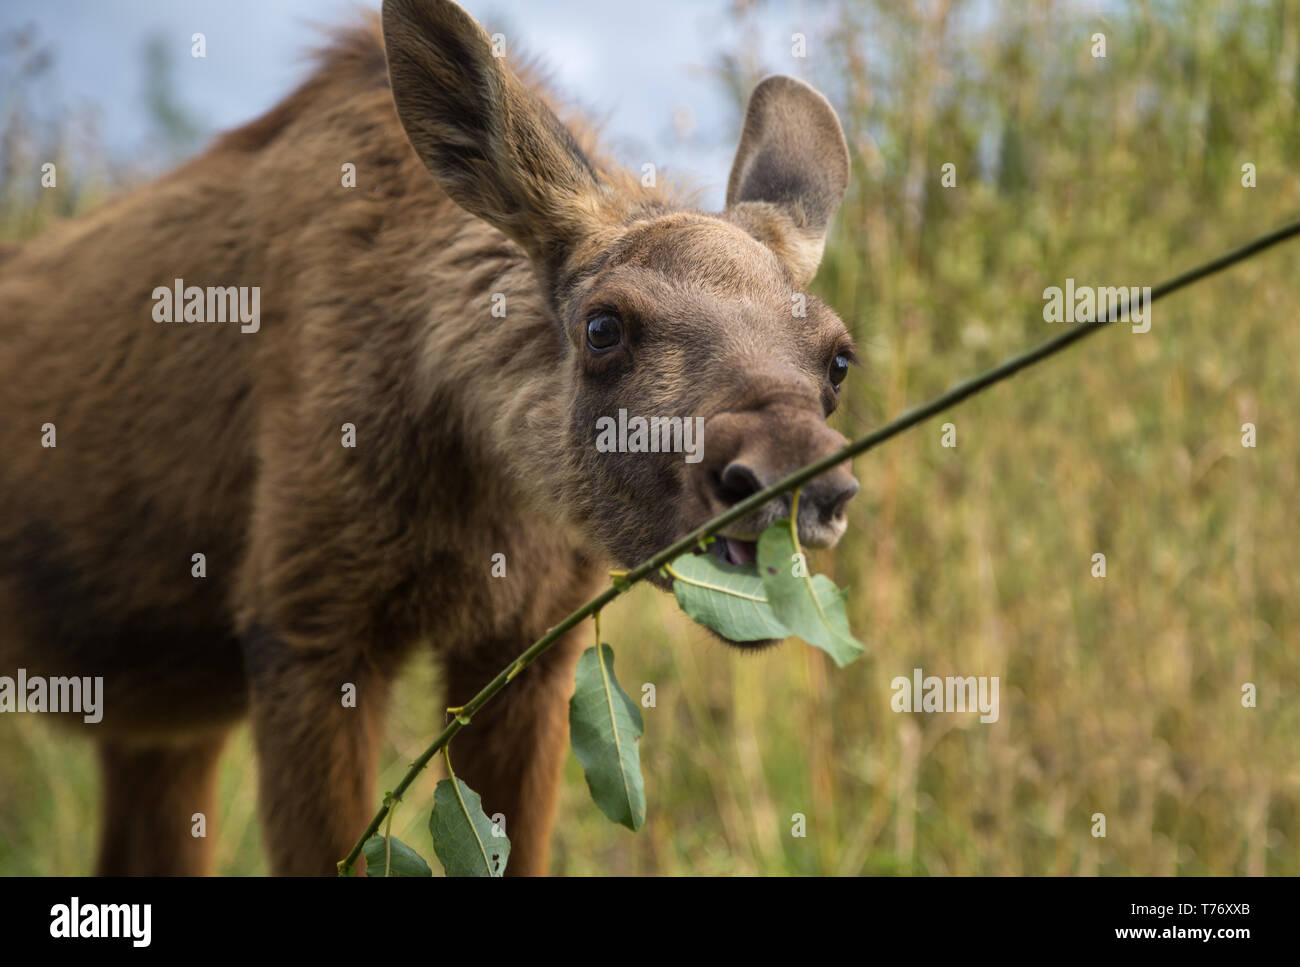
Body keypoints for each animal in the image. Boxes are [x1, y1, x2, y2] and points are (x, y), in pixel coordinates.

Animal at [0, 0, 859, 875]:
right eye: (603, 325)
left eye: (838, 357)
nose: (796, 478)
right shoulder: (302, 619)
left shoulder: (531, 638)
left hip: (161, 727)